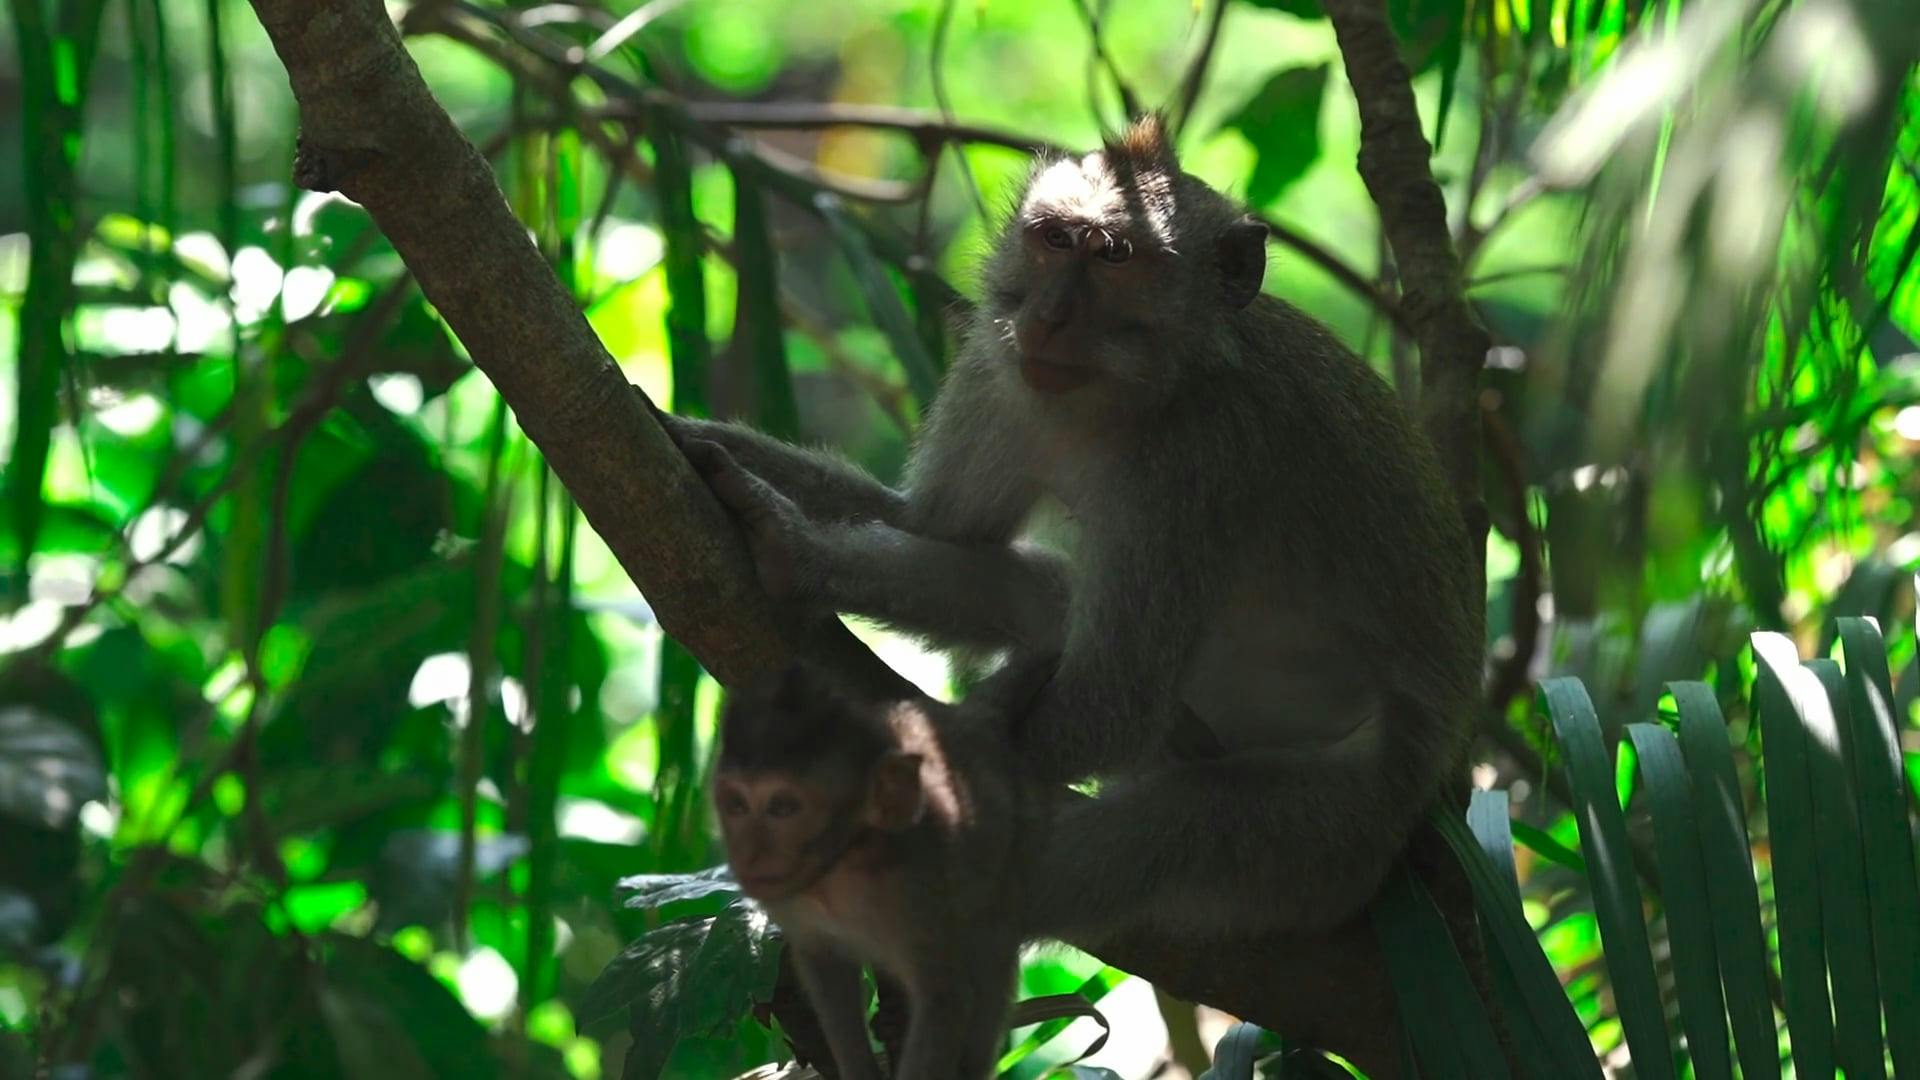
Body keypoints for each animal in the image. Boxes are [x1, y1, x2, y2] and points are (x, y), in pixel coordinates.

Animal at [669, 112, 1482, 955]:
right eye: (1055, 239)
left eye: (1114, 255)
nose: (1050, 316)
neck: (1141, 392)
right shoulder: (998, 370)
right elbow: (932, 527)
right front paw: (696, 440)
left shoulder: (1198, 462)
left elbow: (1112, 701)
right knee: (1036, 593)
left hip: (1341, 824)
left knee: (1178, 827)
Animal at [712, 662, 1047, 1080]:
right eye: (737, 805)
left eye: (783, 807)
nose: (749, 854)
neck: (837, 870)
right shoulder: (794, 902)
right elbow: (825, 969)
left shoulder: (913, 889)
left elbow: (946, 997)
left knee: (990, 953)